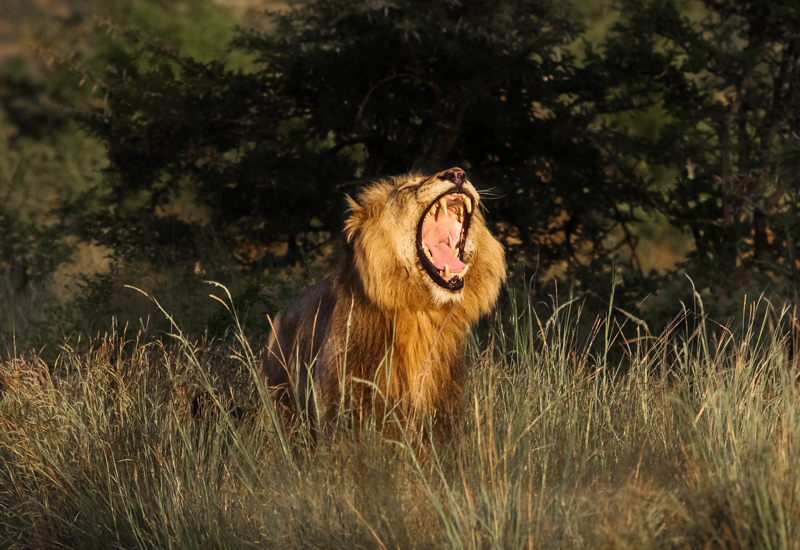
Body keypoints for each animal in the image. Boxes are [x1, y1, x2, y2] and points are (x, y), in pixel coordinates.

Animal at [261, 167, 506, 434]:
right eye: (407, 188)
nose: (458, 173)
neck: (422, 313)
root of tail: (279, 316)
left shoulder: (444, 411)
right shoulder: (343, 404)